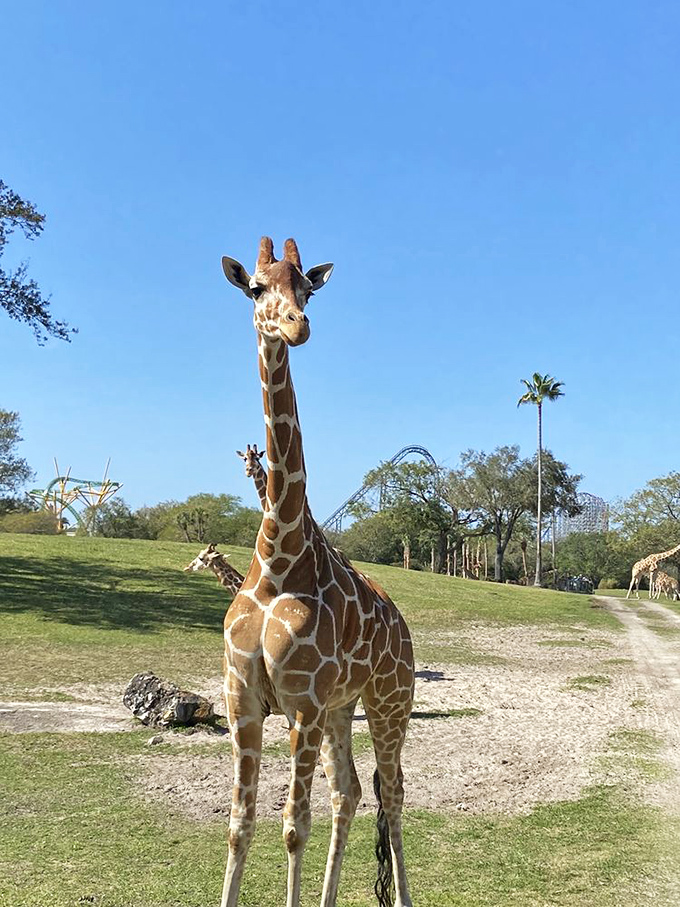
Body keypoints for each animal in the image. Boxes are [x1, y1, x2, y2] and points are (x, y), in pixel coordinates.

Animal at [219, 237, 415, 907]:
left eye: (308, 287)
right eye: (256, 287)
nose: (296, 326)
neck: (278, 557)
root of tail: (406, 631)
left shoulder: (300, 702)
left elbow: (291, 826)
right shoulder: (244, 699)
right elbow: (241, 824)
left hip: (389, 703)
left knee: (394, 794)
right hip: (342, 708)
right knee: (349, 793)